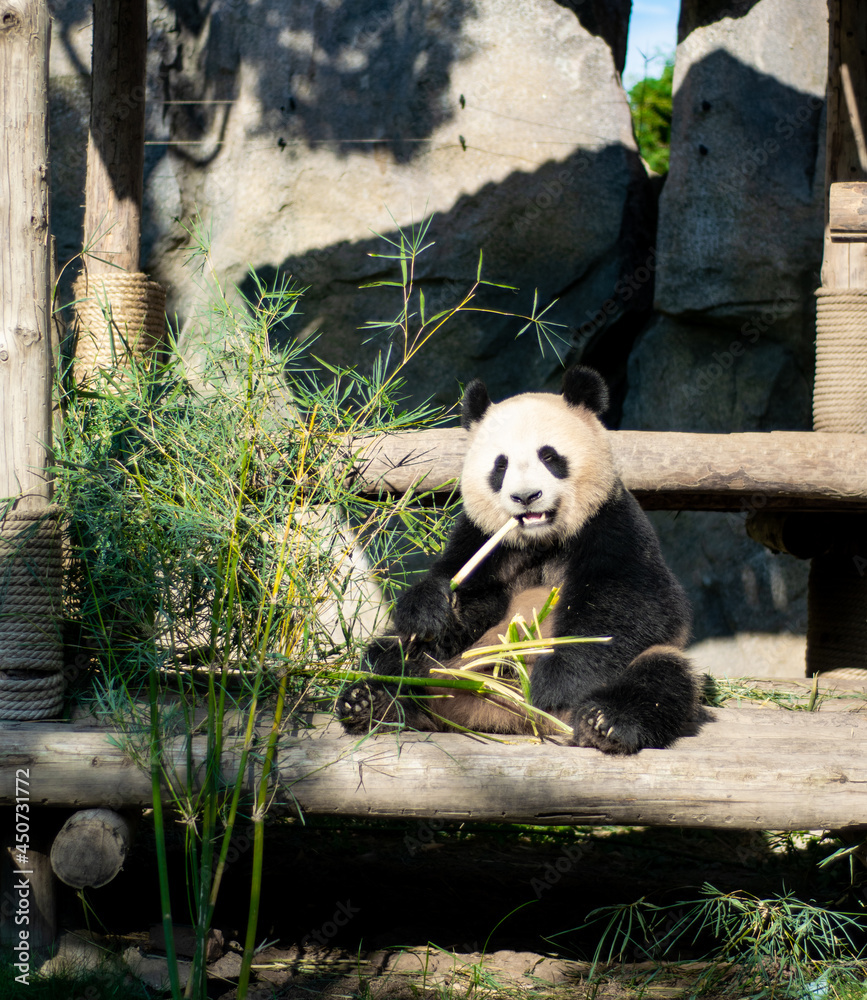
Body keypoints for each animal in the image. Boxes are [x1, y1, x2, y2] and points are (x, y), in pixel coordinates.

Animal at [338, 366, 700, 754]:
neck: (541, 539)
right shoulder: (483, 537)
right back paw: (372, 703)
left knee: (662, 674)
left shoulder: (611, 522)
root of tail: (506, 718)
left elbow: (633, 603)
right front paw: (430, 608)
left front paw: (555, 681)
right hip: (445, 671)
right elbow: (467, 596)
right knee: (392, 655)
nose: (526, 497)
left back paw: (602, 722)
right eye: (501, 465)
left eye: (549, 457)